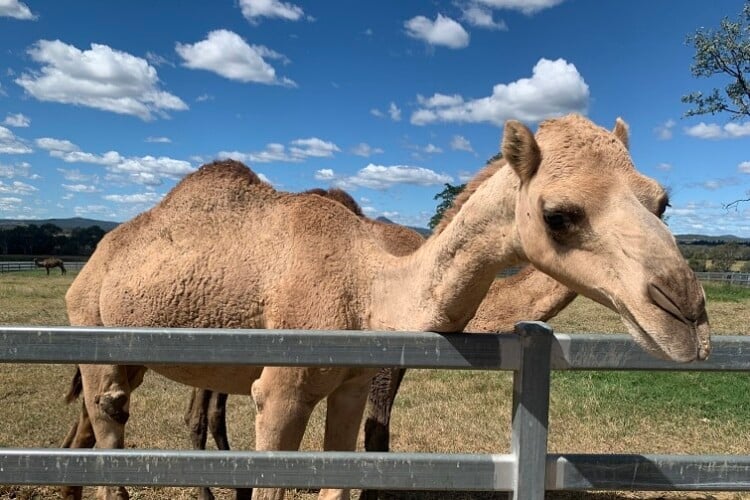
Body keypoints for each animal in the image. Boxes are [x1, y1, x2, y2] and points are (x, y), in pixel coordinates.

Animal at [62, 114, 710, 500]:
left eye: (663, 201)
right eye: (558, 214)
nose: (688, 316)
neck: (367, 289)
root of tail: (96, 257)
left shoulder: (351, 382)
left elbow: (347, 467)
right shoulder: (280, 390)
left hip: (130, 349)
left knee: (91, 427)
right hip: (92, 323)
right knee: (112, 427)